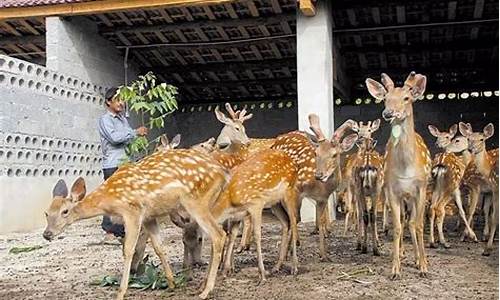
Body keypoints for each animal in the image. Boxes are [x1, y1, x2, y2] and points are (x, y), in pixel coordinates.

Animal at [366, 71, 432, 278]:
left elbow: (418, 225)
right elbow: (396, 226)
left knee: (412, 222)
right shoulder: (392, 191)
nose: (388, 113)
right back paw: (403, 253)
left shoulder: (421, 188)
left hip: (412, 195)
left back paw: (418, 259)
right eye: (385, 99)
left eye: (406, 98)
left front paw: (424, 266)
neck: (406, 168)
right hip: (402, 195)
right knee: (404, 221)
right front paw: (395, 269)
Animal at [458, 122, 498, 255]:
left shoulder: (478, 187)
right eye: (468, 139)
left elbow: (473, 210)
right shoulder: (488, 190)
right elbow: (483, 210)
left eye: (482, 139)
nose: (471, 149)